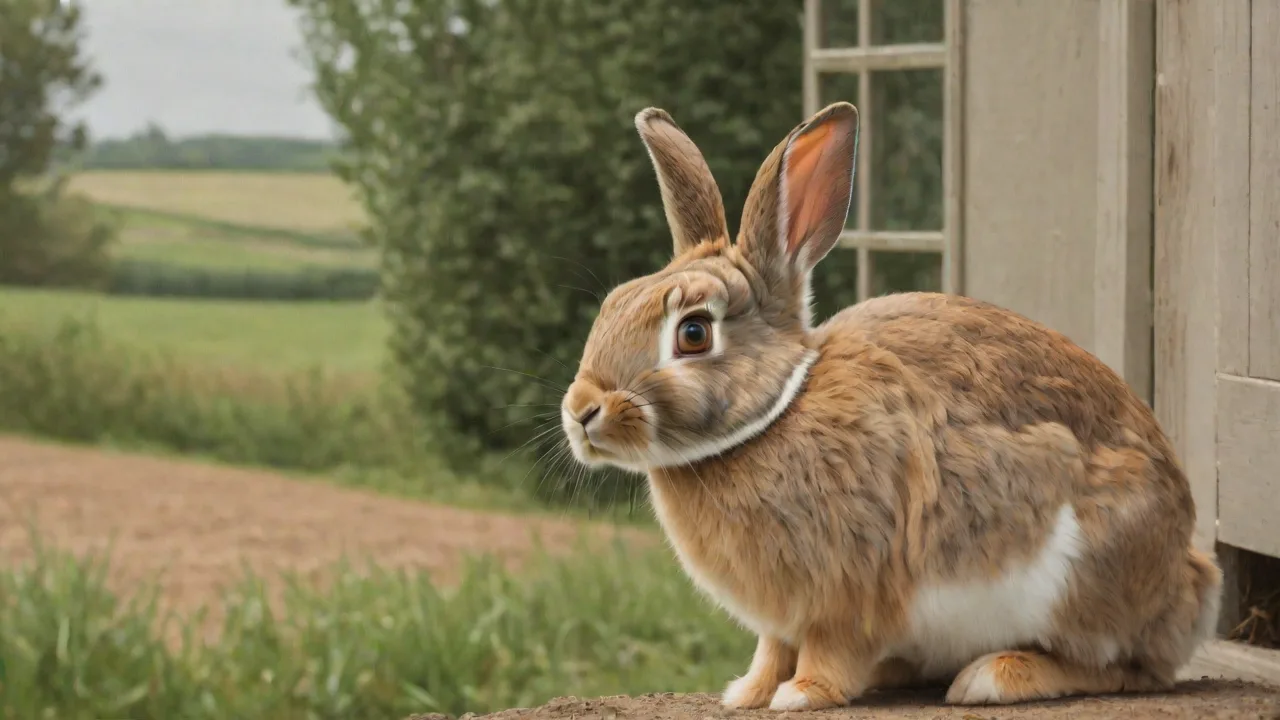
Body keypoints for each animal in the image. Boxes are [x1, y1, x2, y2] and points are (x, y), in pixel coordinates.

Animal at [558, 101, 1222, 711]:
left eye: (693, 333)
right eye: (615, 301)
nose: (582, 411)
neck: (777, 410)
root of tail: (1197, 590)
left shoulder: (848, 592)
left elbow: (830, 651)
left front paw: (801, 695)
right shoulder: (781, 620)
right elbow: (771, 651)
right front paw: (746, 693)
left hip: (1084, 574)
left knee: (1125, 669)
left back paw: (996, 676)